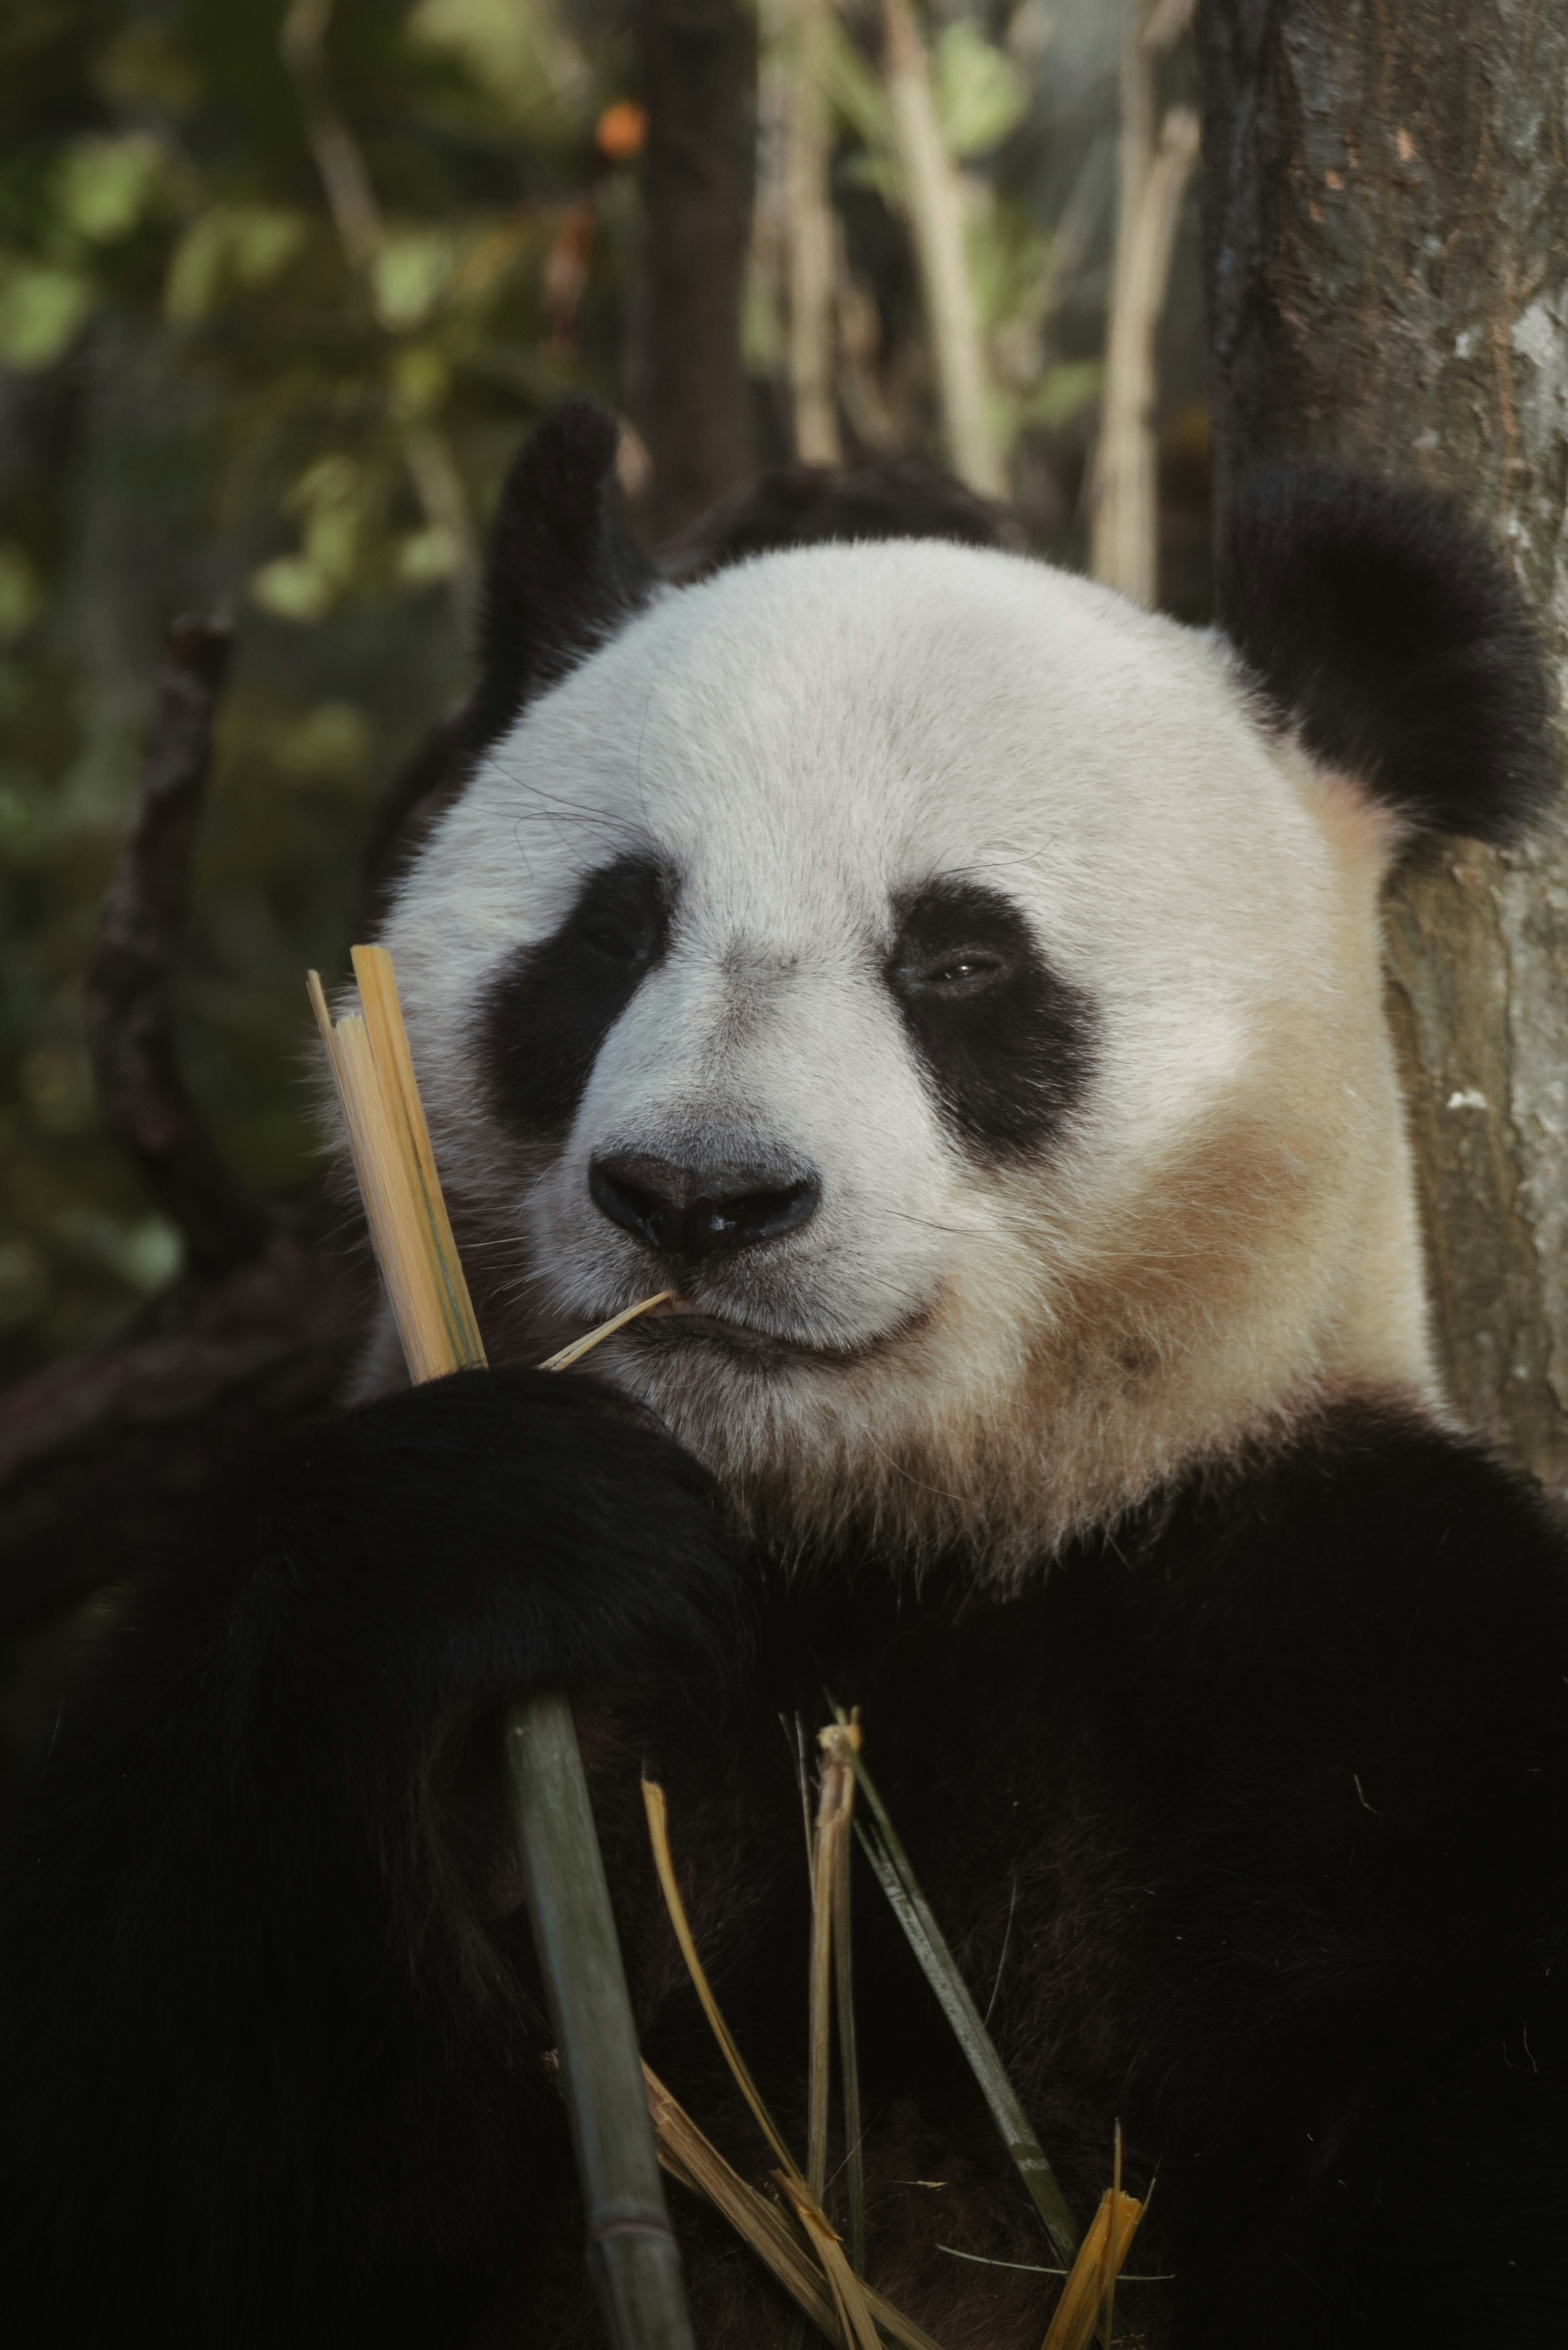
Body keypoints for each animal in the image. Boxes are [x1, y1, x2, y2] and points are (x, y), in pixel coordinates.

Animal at [5, 394, 1568, 2350]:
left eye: (958, 958)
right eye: (612, 930)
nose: (700, 1197)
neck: (853, 1539)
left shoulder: (1316, 1608)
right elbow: (160, 2132)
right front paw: (496, 1529)